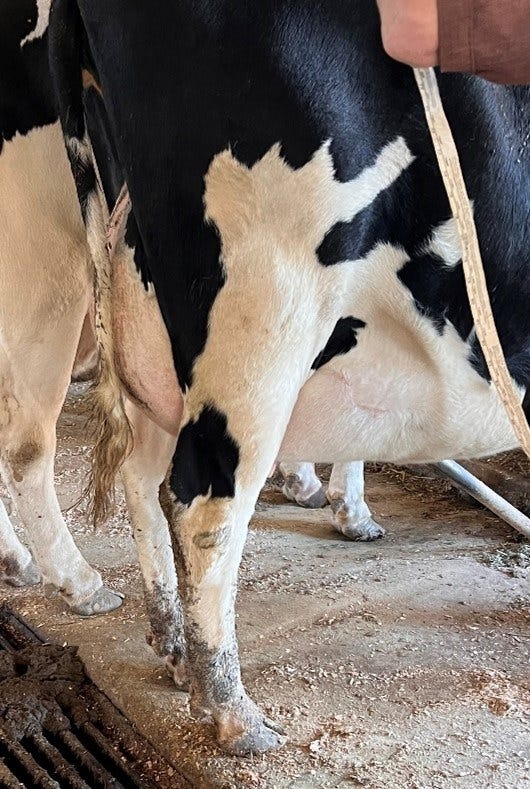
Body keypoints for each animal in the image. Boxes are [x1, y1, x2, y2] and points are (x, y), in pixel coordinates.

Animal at [48, 0, 530, 755]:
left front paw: (349, 509)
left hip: (149, 321)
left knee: (142, 476)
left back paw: (174, 644)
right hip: (268, 309)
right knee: (202, 501)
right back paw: (232, 713)